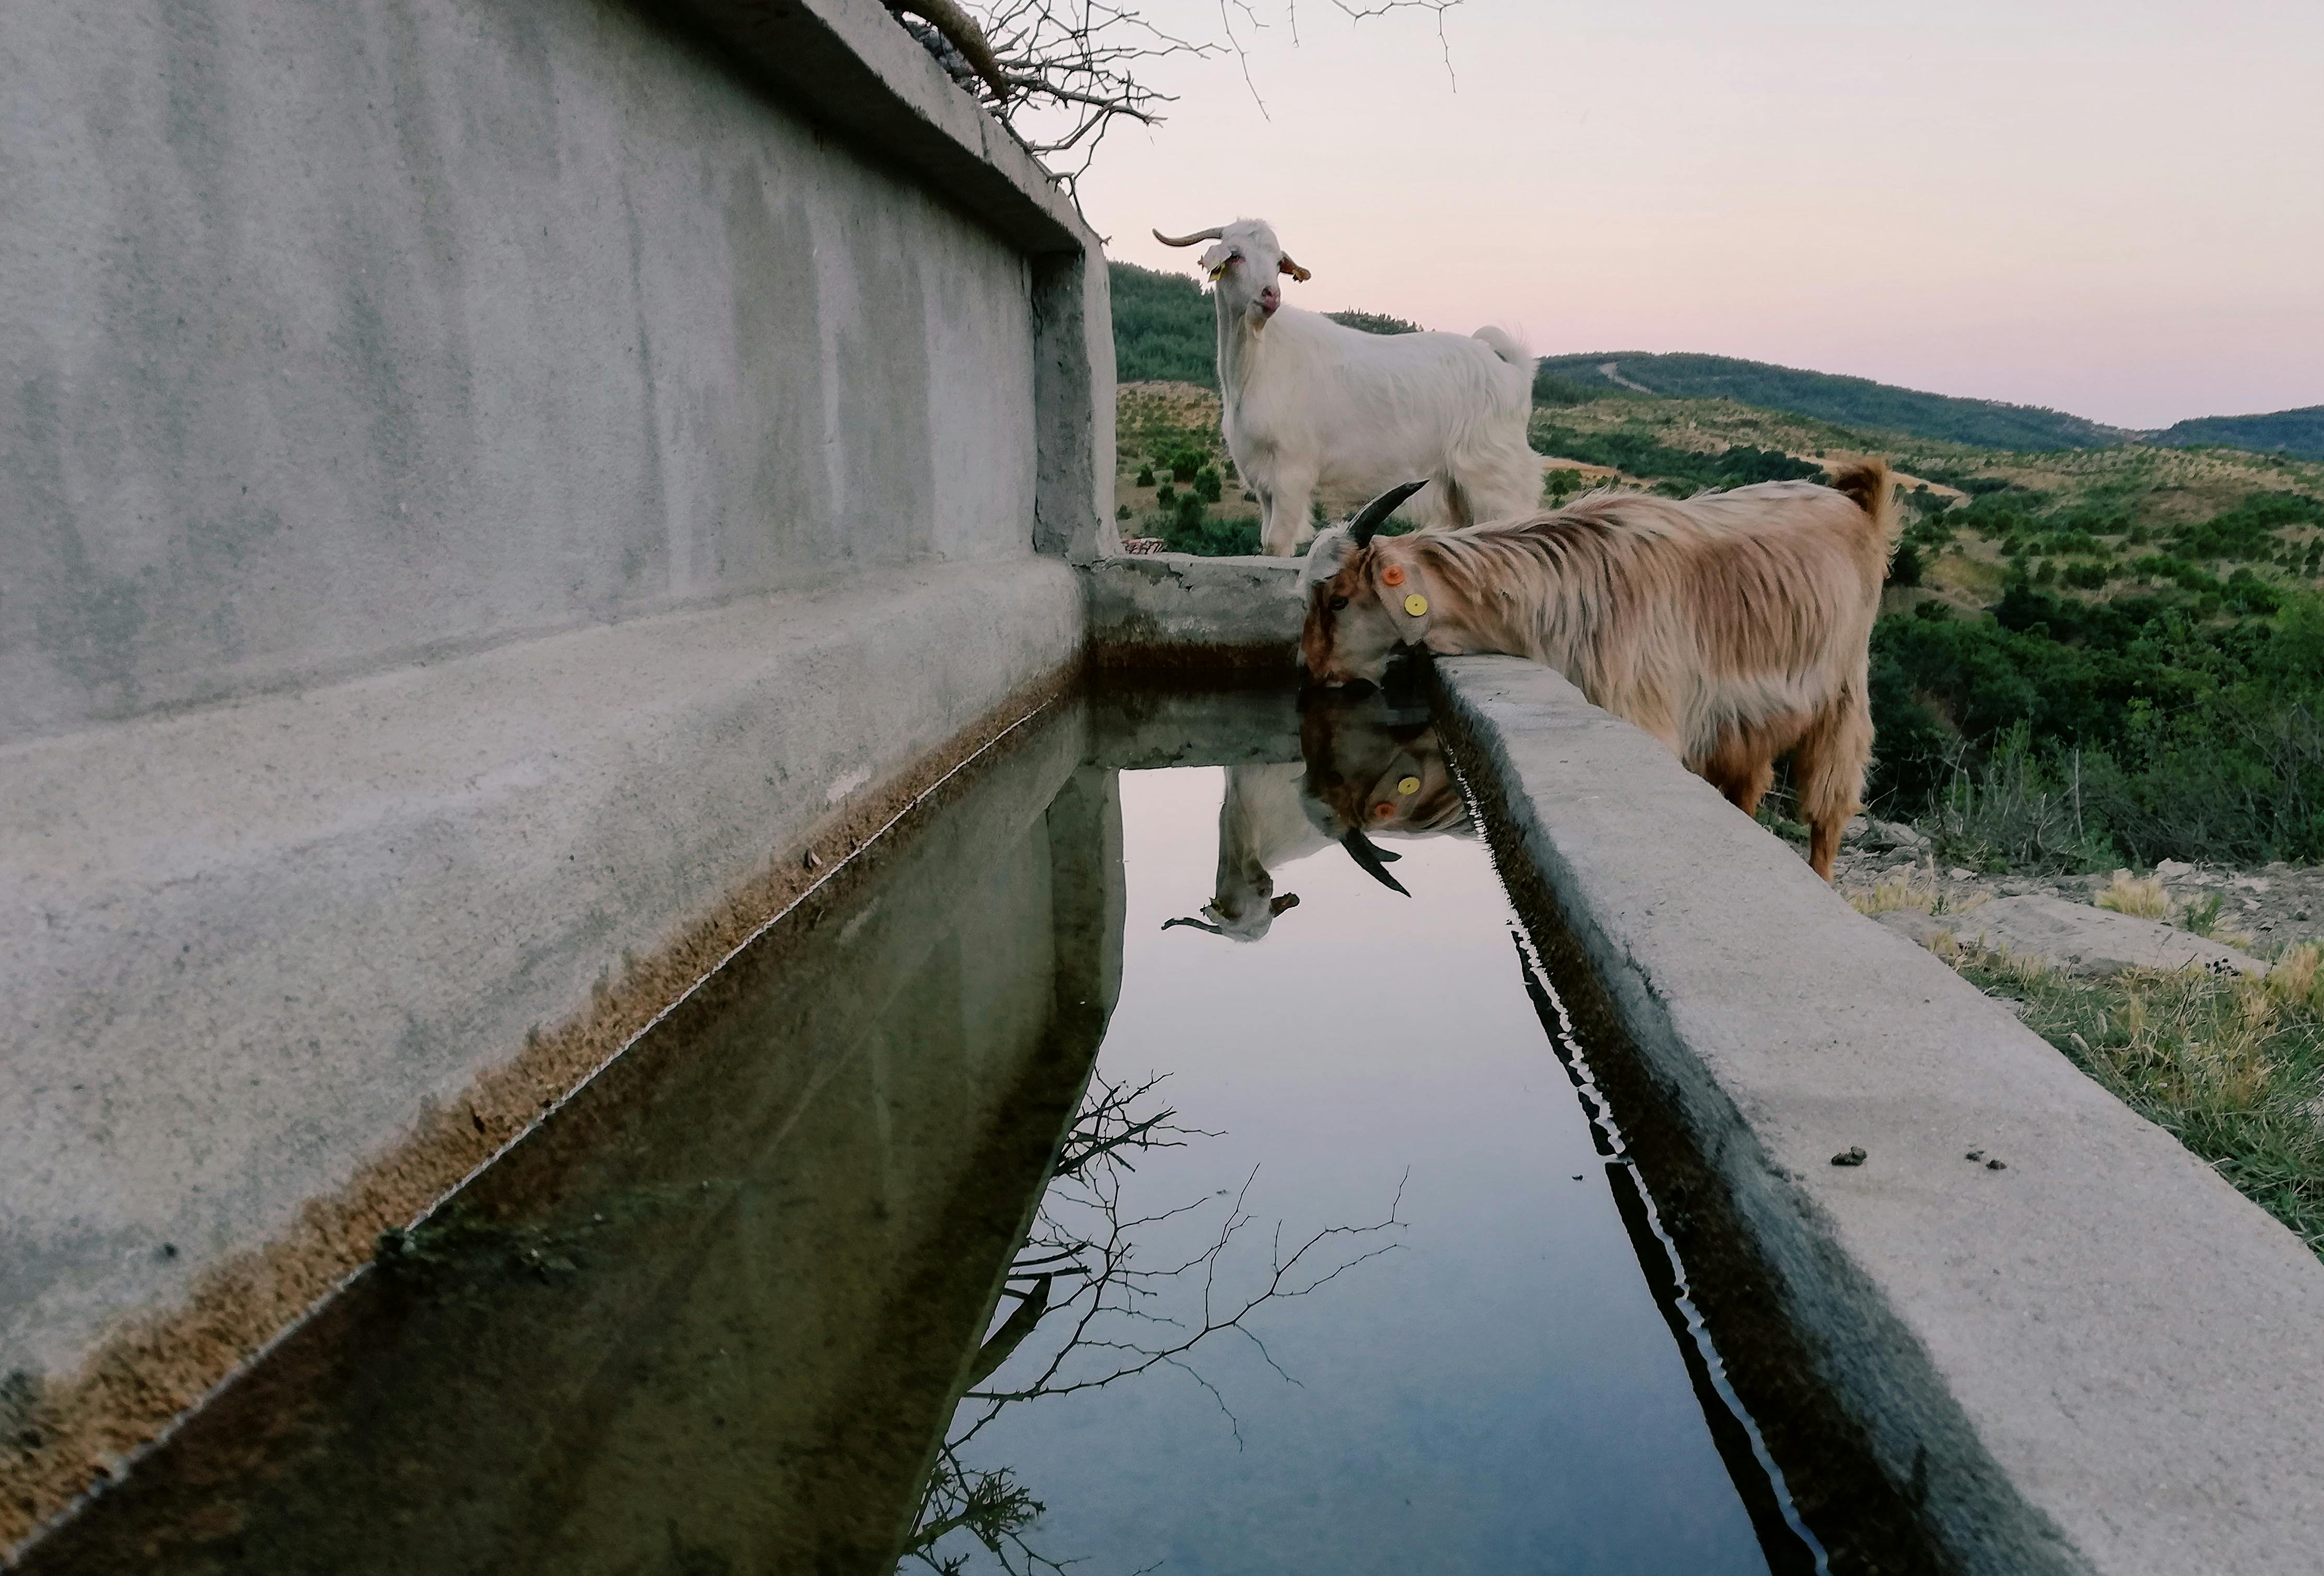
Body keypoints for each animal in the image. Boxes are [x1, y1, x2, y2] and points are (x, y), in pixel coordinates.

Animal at [1153, 219, 1541, 556]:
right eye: (1235, 255)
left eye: (1278, 263)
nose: (1270, 295)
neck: (1258, 363)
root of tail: (1514, 375)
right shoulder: (1262, 480)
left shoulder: (1291, 472)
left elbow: (1276, 543)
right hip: (1456, 485)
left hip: (1494, 471)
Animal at [1299, 468, 1902, 881]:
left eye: (1339, 600)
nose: (1312, 671)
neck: (1558, 588)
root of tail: (1856, 507)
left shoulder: (1644, 713)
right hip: (1746, 724)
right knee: (1748, 783)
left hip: (1843, 695)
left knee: (1828, 809)